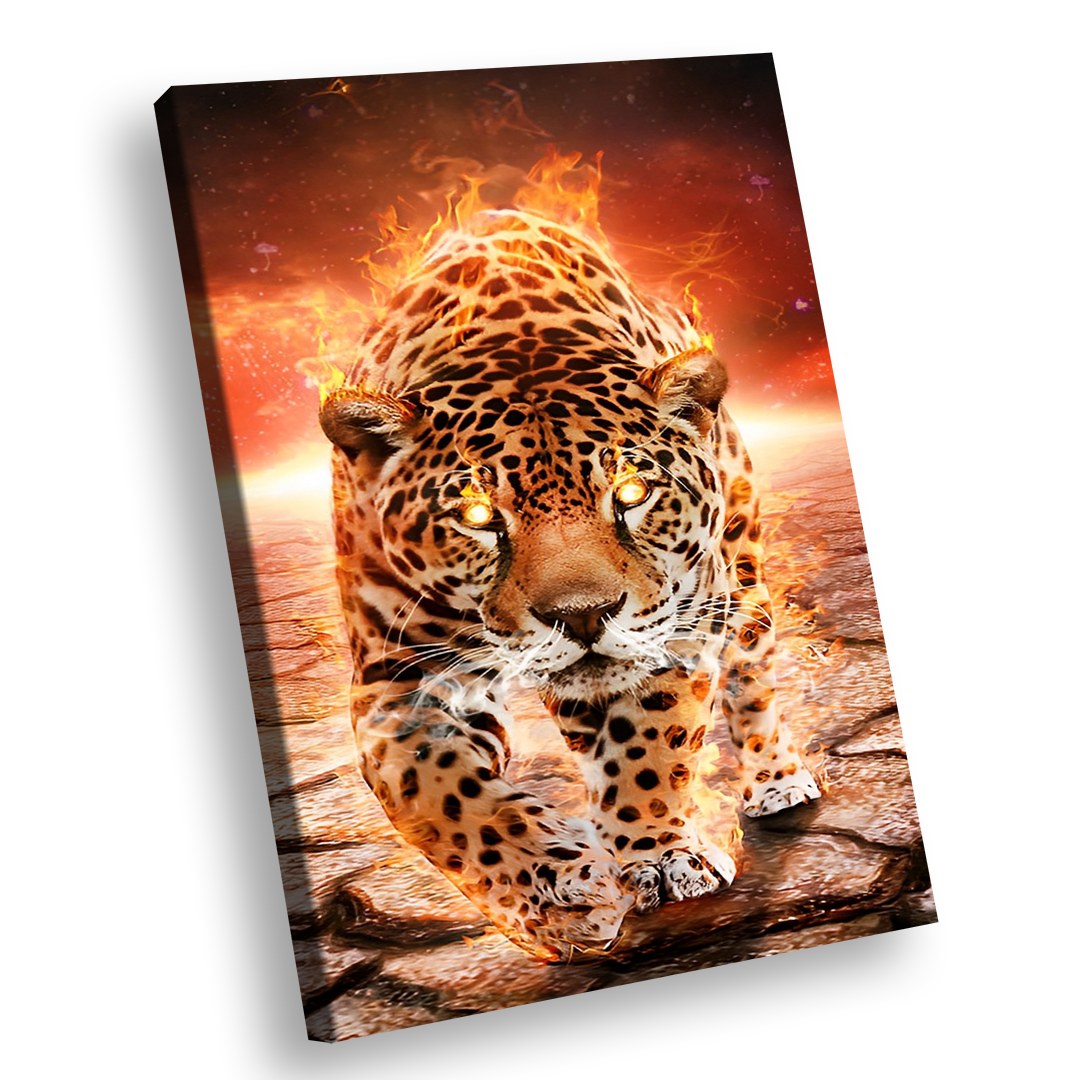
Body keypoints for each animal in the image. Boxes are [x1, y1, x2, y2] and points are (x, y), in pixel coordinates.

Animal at [319, 205, 821, 961]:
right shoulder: (397, 680)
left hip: (743, 572)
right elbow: (443, 794)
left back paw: (778, 782)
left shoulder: (676, 629)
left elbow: (649, 748)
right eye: (477, 516)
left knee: (753, 678)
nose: (584, 616)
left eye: (633, 493)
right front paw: (560, 898)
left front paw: (660, 859)